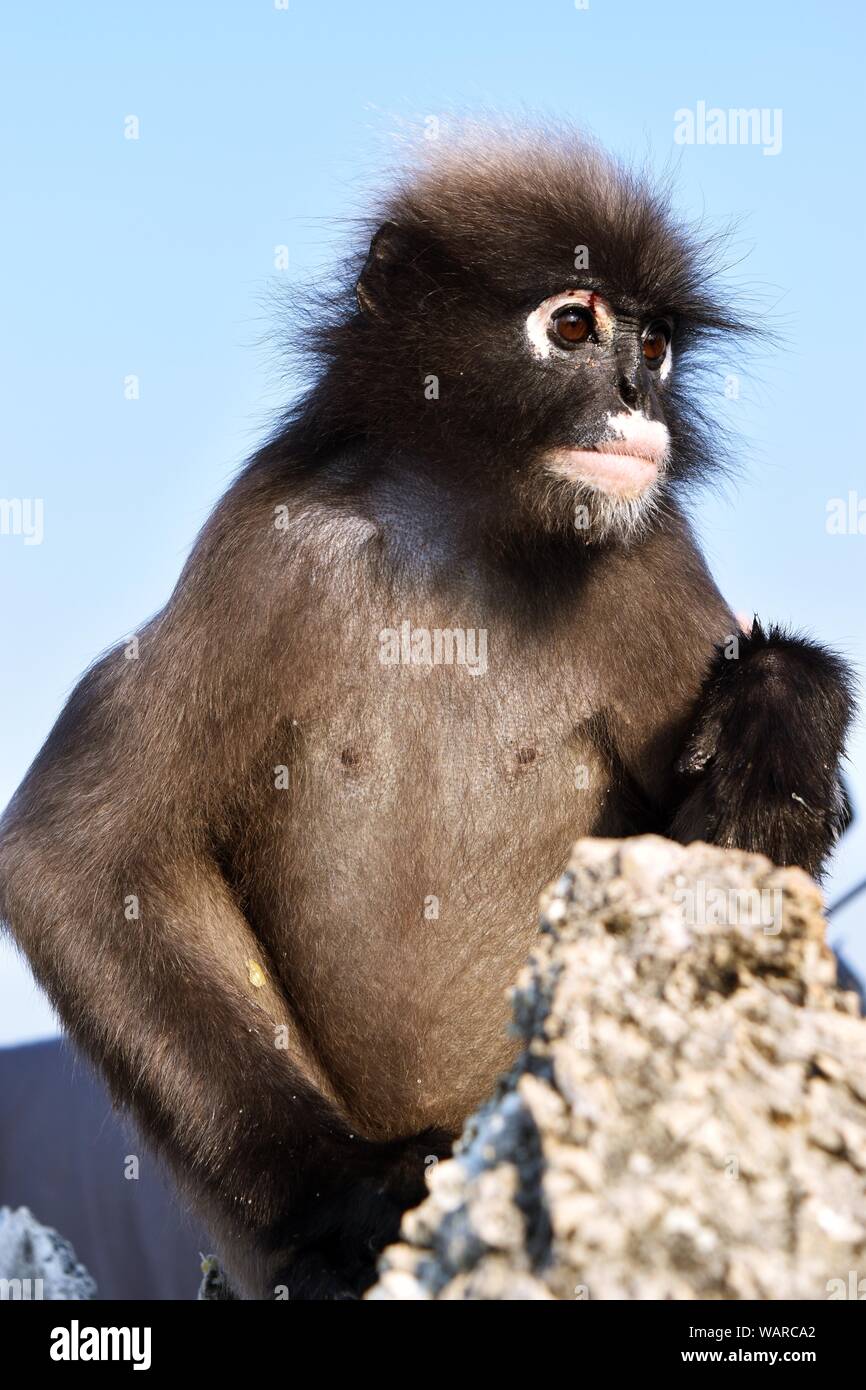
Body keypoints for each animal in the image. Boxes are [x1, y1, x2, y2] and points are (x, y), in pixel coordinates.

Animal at [0, 128, 855, 1300]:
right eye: (573, 323)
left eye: (659, 340)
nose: (638, 391)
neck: (467, 531)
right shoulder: (262, 548)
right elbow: (76, 854)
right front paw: (343, 1199)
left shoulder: (650, 554)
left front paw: (779, 719)